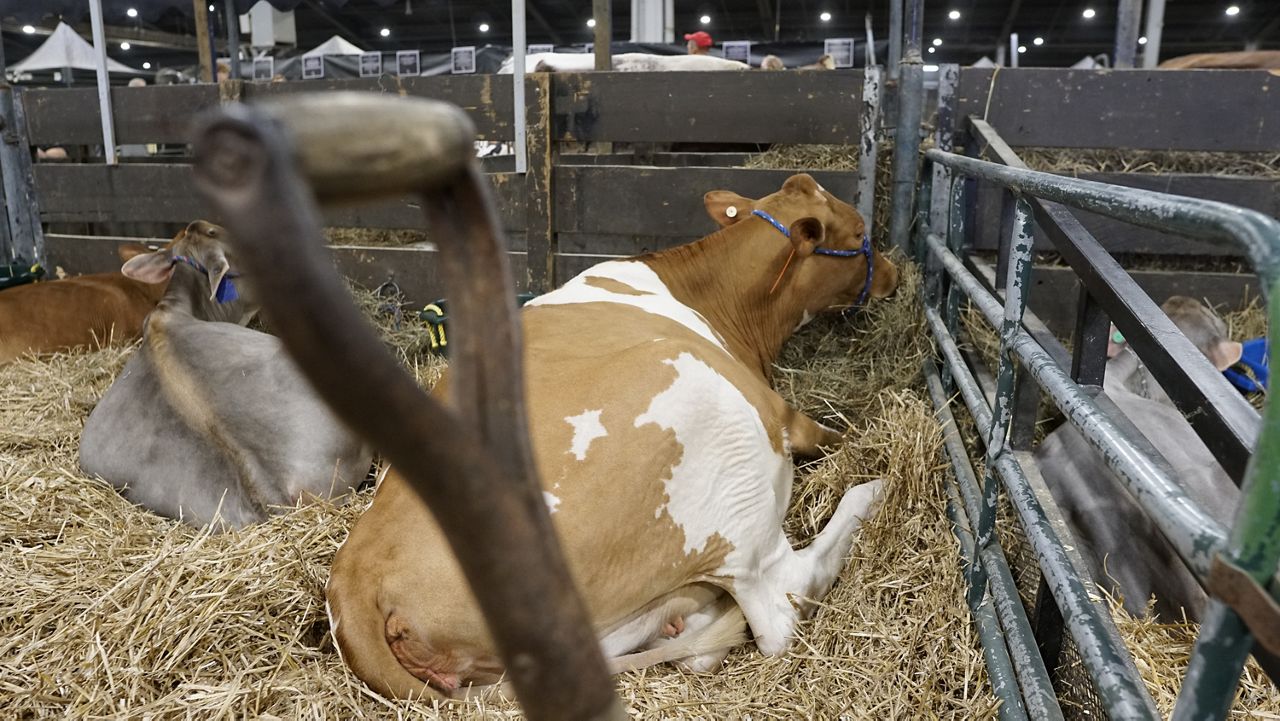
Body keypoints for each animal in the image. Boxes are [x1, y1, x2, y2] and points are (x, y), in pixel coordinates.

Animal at [325, 174, 900, 699]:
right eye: (858, 232)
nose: (895, 272)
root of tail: (358, 579)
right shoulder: (781, 411)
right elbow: (840, 435)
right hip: (723, 460)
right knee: (784, 603)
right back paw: (870, 494)